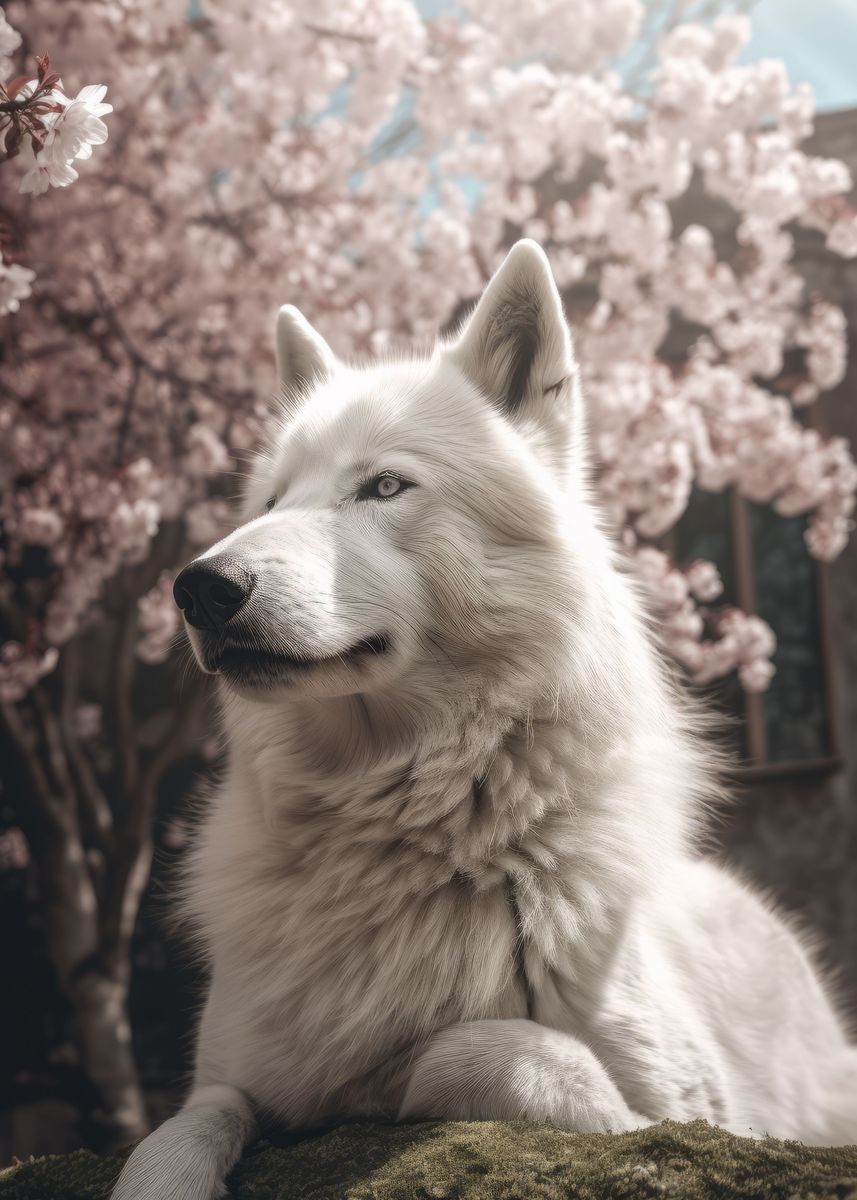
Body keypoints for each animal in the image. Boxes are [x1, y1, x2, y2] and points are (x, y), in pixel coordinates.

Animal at [111, 240, 857, 1199]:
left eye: (385, 485)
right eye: (270, 503)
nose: (199, 589)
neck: (405, 835)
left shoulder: (684, 1120)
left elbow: (477, 1050)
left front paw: (389, 1083)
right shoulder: (226, 1074)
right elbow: (179, 1130)